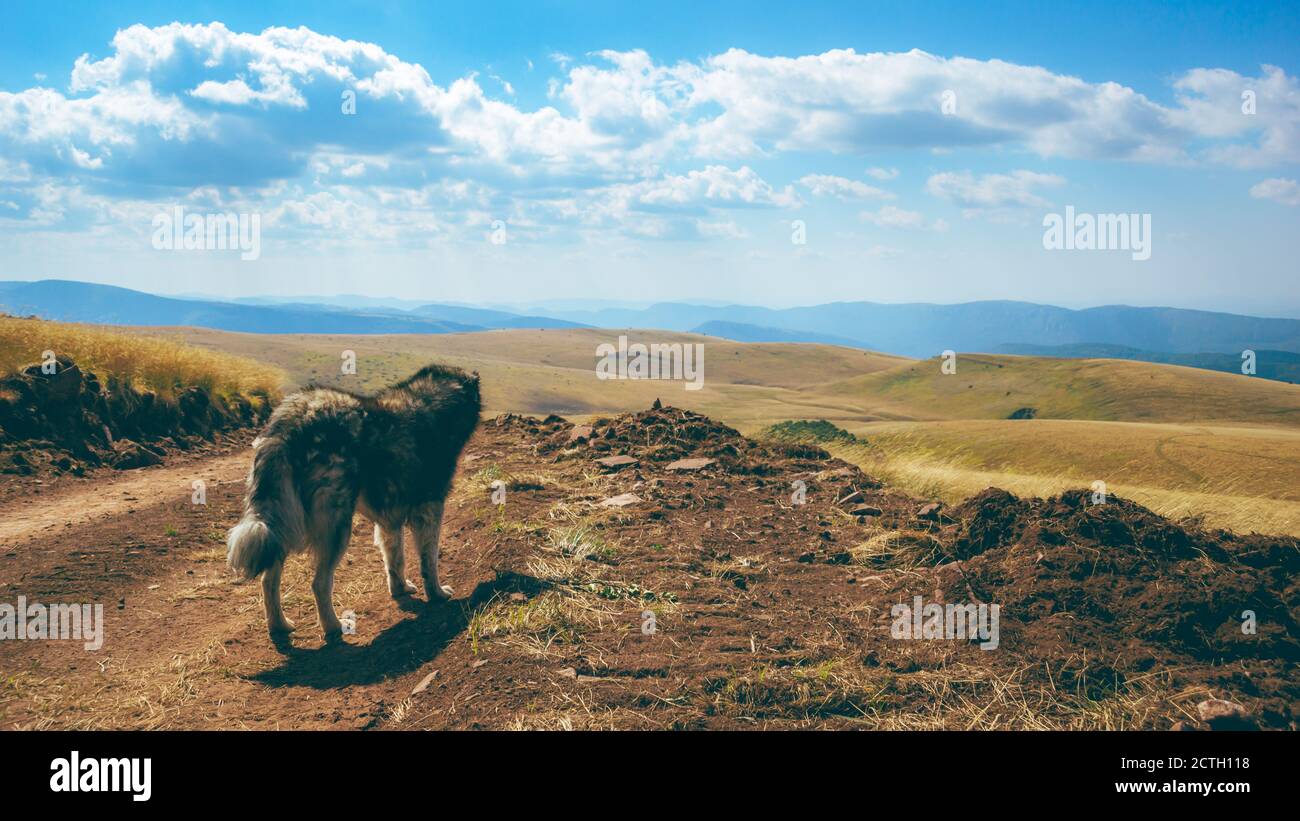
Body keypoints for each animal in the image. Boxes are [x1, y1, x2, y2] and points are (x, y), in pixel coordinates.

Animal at [226, 364, 481, 642]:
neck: (431, 401)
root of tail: (292, 421)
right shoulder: (430, 509)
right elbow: (429, 560)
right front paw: (437, 594)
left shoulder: (389, 521)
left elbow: (395, 560)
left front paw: (400, 589)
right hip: (336, 527)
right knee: (319, 583)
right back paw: (334, 627)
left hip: (282, 523)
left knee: (268, 580)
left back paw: (279, 625)